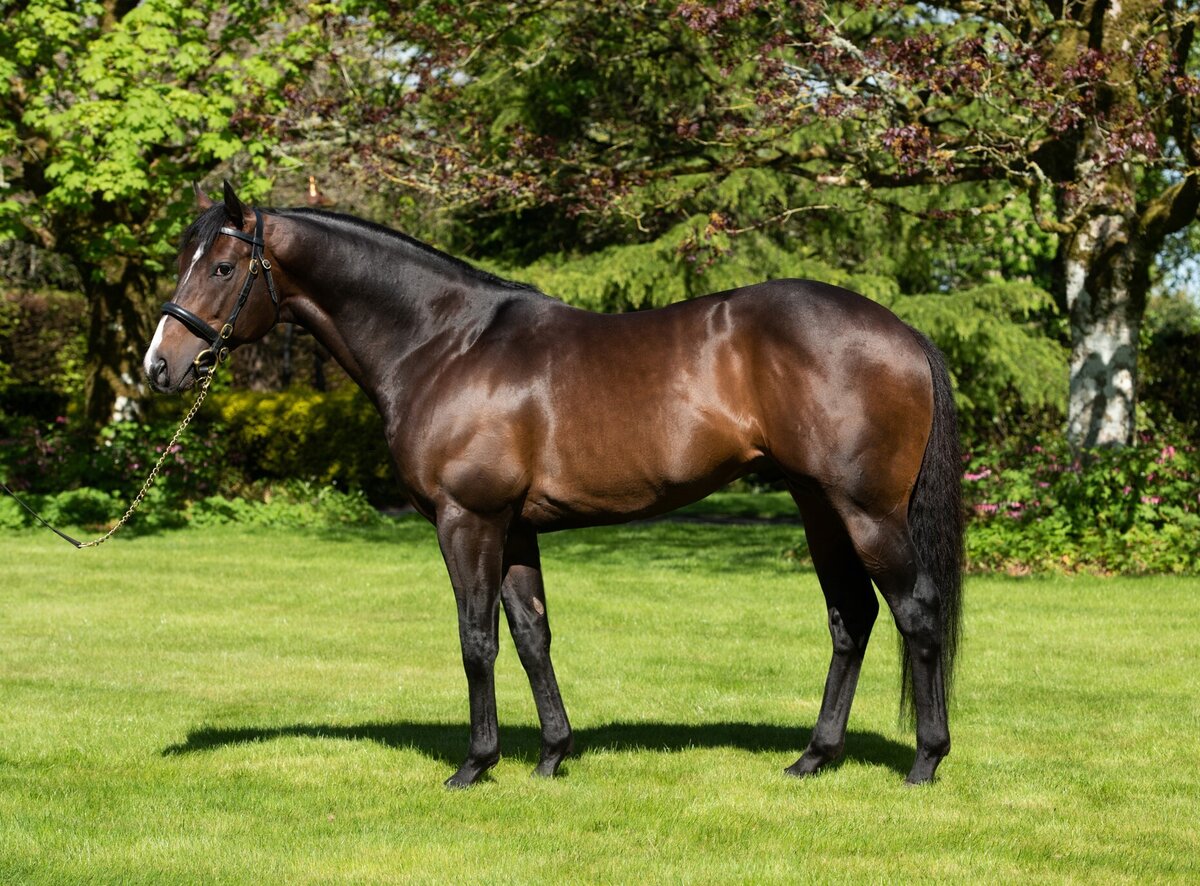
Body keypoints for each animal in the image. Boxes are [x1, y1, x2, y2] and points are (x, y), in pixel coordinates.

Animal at [144, 181, 964, 788]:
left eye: (221, 268)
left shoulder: (467, 519)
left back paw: (925, 761)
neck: (444, 343)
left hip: (866, 512)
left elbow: (477, 639)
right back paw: (814, 757)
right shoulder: (514, 527)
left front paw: (475, 765)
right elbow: (532, 634)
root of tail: (904, 333)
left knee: (915, 612)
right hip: (819, 507)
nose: (160, 366)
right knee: (852, 618)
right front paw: (551, 755)